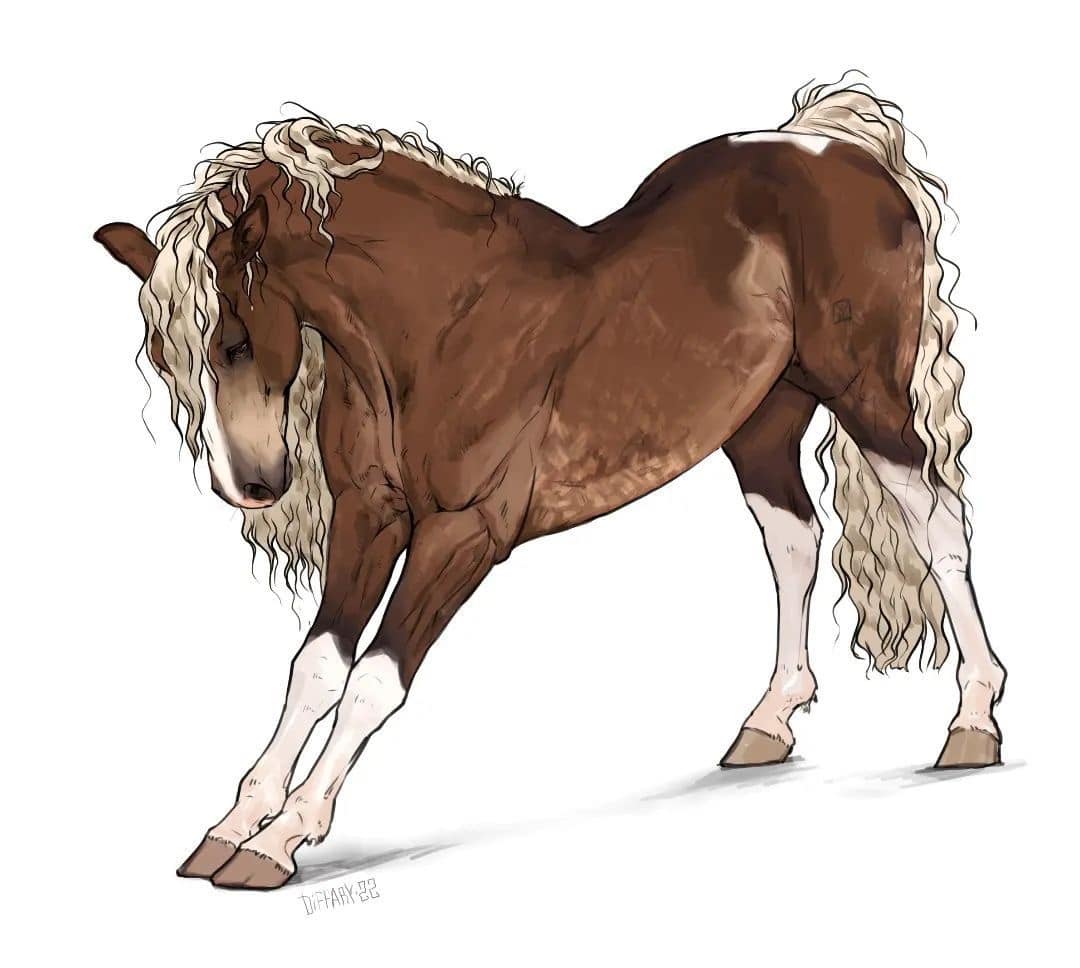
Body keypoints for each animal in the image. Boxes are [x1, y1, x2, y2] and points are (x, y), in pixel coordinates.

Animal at [93, 78, 1005, 891]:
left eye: (237, 340)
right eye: (165, 356)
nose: (253, 484)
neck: (441, 322)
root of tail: (828, 143)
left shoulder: (463, 533)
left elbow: (373, 681)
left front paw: (282, 839)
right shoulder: (370, 515)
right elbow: (316, 667)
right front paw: (230, 828)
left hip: (869, 397)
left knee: (940, 524)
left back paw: (971, 724)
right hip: (761, 424)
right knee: (794, 540)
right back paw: (767, 722)